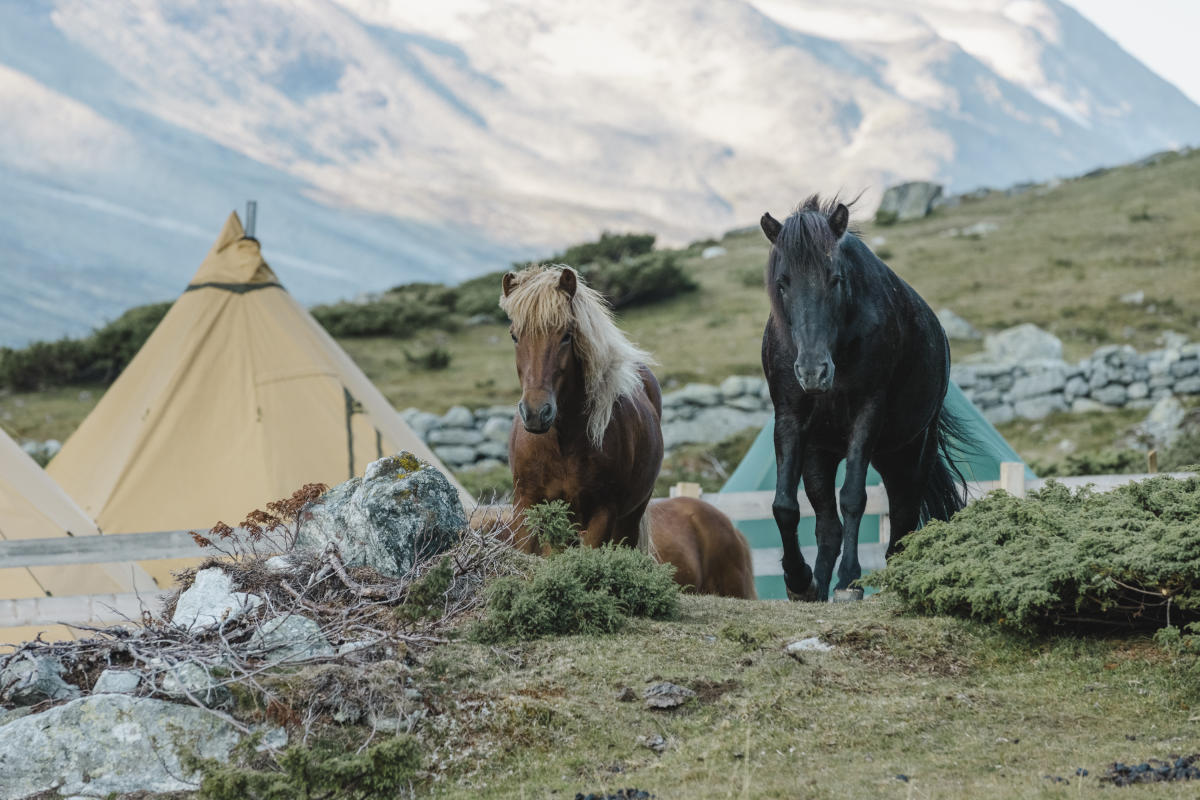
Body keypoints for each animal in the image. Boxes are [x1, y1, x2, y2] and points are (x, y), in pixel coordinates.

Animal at [499, 265, 664, 553]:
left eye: (566, 336)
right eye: (514, 336)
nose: (535, 413)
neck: (561, 443)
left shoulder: (602, 514)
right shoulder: (526, 507)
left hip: (629, 521)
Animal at [759, 195, 968, 601]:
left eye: (835, 279)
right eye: (782, 283)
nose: (813, 371)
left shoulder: (867, 412)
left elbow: (854, 497)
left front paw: (849, 581)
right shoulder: (790, 419)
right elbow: (785, 505)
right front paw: (798, 579)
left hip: (909, 454)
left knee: (901, 523)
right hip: (822, 453)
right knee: (828, 526)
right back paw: (816, 584)